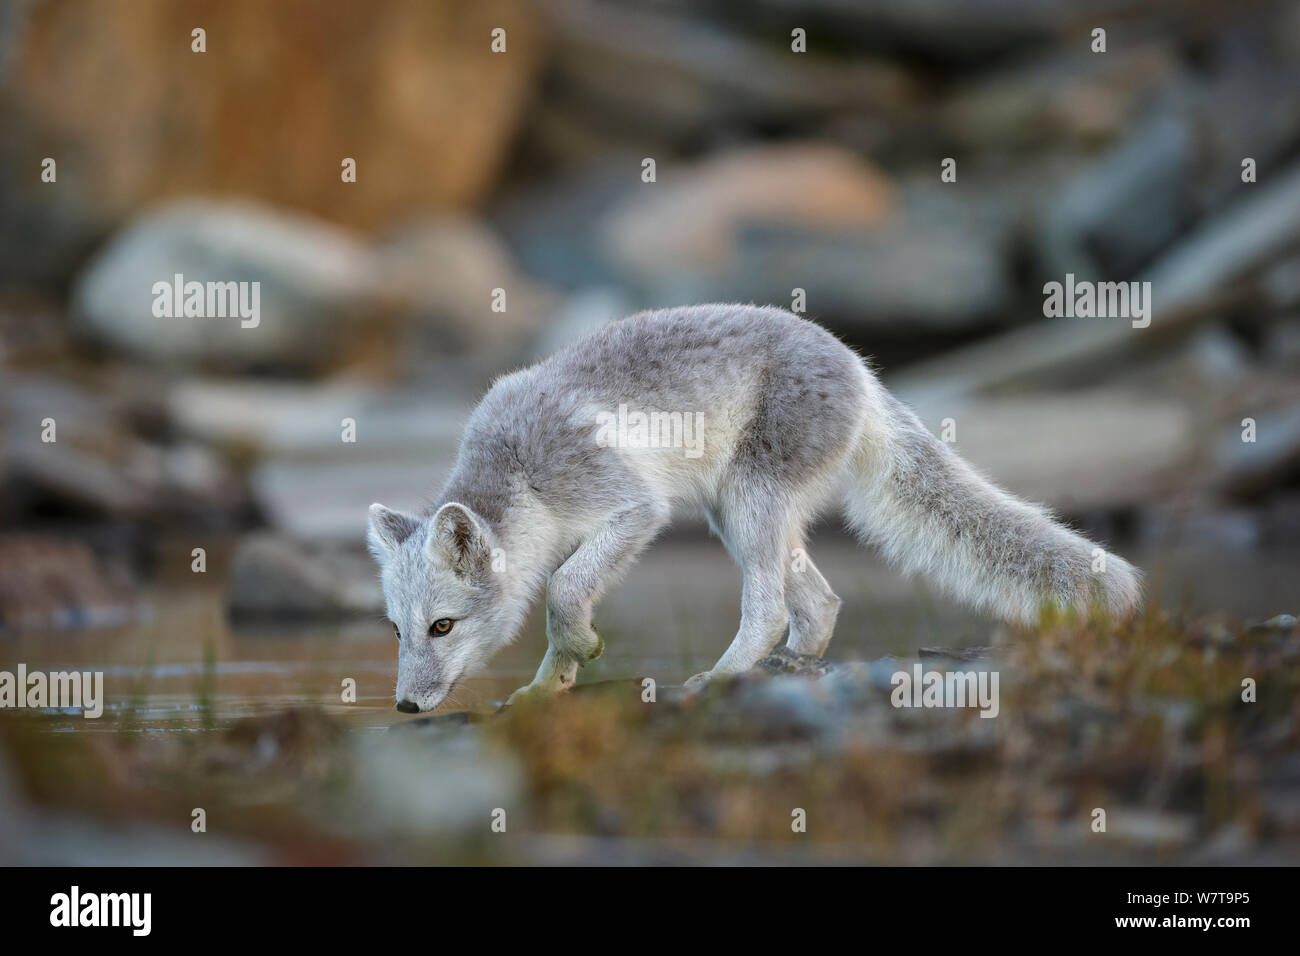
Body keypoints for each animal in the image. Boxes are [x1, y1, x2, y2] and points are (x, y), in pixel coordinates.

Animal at [368, 304, 1141, 713]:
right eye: (398, 632)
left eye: (442, 626)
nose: (403, 705)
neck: (521, 474)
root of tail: (862, 369)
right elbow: (561, 600)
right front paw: (546, 684)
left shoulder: (633, 509)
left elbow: (562, 588)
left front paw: (577, 648)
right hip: (735, 517)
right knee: (821, 604)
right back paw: (789, 668)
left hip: (749, 504)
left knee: (770, 609)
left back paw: (721, 678)